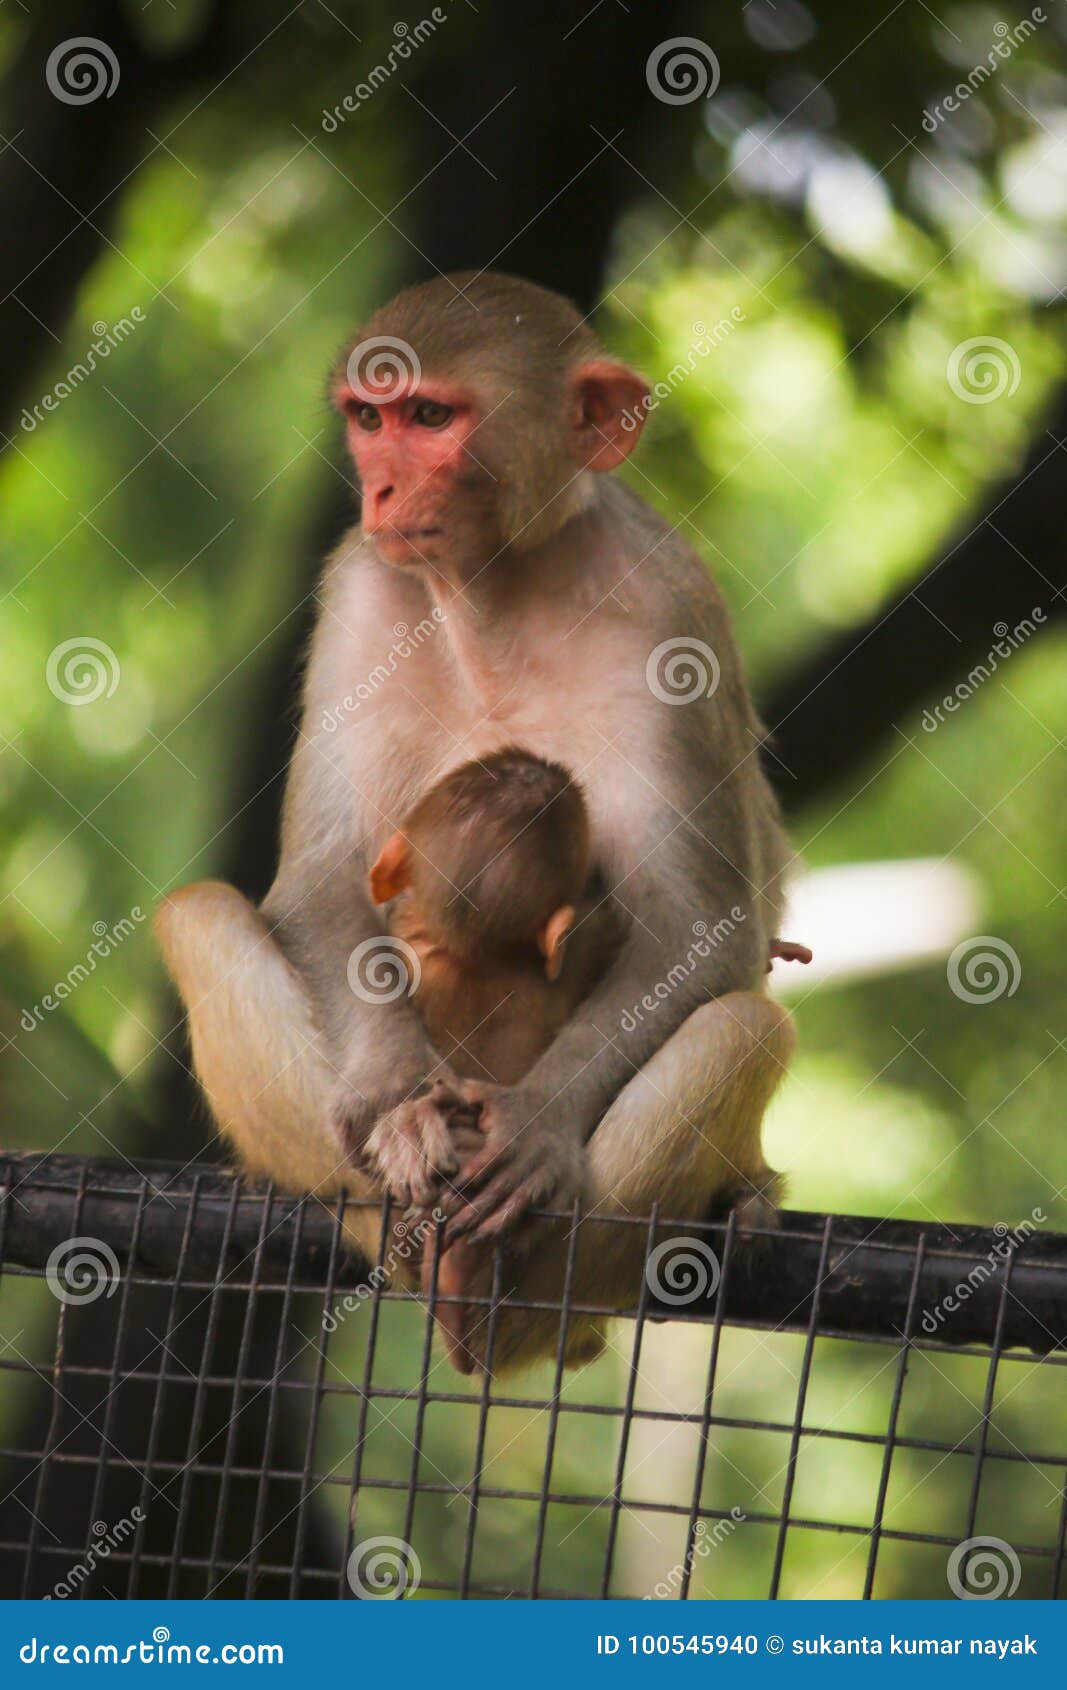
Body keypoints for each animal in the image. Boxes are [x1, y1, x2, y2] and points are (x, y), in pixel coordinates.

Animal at [155, 270, 800, 1377]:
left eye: (431, 418)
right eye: (370, 419)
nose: (378, 491)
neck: (502, 581)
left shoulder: (665, 602)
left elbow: (698, 922)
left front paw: (535, 1127)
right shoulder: (360, 582)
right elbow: (323, 876)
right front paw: (399, 1101)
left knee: (742, 1027)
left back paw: (513, 1280)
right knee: (201, 914)